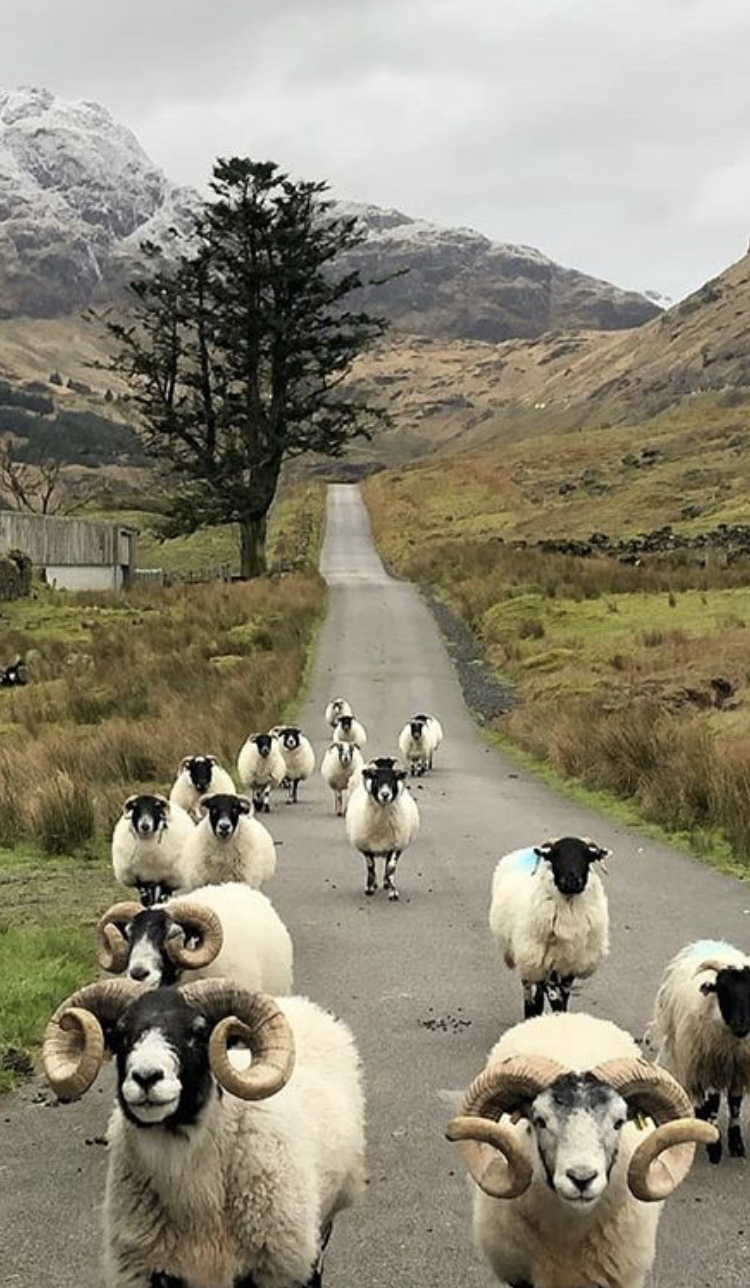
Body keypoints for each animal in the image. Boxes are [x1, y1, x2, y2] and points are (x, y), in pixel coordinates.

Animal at [43, 977, 365, 1288]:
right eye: (121, 1034)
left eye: (198, 1032)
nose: (146, 1077)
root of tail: (300, 1004)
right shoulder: (155, 1271)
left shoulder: (271, 1269)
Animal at [345, 756, 420, 901]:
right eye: (376, 779)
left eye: (393, 779)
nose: (385, 795)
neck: (381, 828)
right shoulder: (366, 846)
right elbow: (370, 867)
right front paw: (369, 888)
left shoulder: (396, 845)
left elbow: (391, 868)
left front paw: (393, 892)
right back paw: (375, 884)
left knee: (387, 865)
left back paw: (386, 883)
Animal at [446, 1011, 717, 1288]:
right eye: (539, 1120)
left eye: (619, 1122)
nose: (582, 1179)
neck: (570, 1231)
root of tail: (563, 1015)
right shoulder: (520, 1277)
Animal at [489, 837, 610, 1018]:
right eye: (555, 855)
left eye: (587, 855)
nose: (572, 881)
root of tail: (525, 851)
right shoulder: (546, 963)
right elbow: (555, 998)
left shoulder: (570, 965)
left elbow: (563, 998)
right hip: (527, 956)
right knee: (529, 991)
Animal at [647, 939, 750, 1164]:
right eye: (723, 990)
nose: (741, 1025)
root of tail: (710, 943)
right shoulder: (708, 1064)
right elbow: (713, 1103)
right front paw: (715, 1146)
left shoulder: (739, 1069)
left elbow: (735, 1103)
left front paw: (737, 1145)